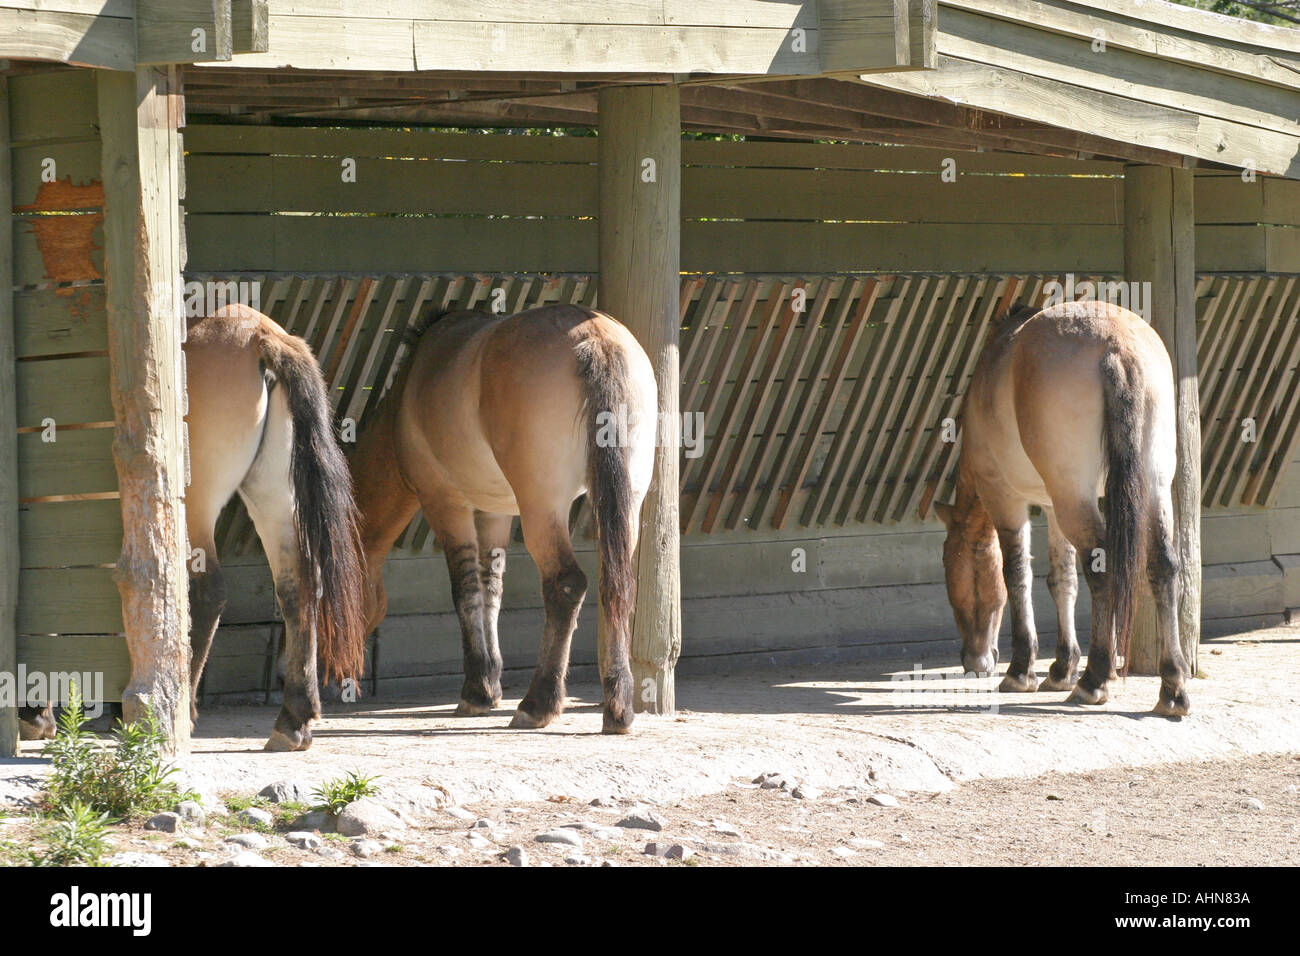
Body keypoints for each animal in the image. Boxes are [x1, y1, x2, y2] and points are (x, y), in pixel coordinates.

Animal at [184, 305, 368, 751]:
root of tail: (262, 335)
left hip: (197, 503)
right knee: (299, 587)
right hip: (274, 498)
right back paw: (294, 719)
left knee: (208, 592)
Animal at [352, 304, 657, 734]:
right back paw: (618, 707)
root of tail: (595, 337)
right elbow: (490, 591)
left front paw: (477, 692)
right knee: (618, 586)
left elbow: (466, 592)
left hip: (542, 507)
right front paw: (491, 683)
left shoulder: (445, 503)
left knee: (566, 585)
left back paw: (538, 704)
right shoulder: (495, 512)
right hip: (626, 500)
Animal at [933, 299, 1191, 717]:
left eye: (953, 582)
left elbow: (1015, 576)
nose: (974, 660)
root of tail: (1117, 345)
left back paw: (1094, 680)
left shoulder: (1005, 500)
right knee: (1163, 567)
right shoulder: (1053, 508)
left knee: (1102, 568)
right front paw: (1062, 668)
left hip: (1074, 497)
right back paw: (1172, 687)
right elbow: (1063, 581)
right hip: (1147, 488)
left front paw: (1023, 671)